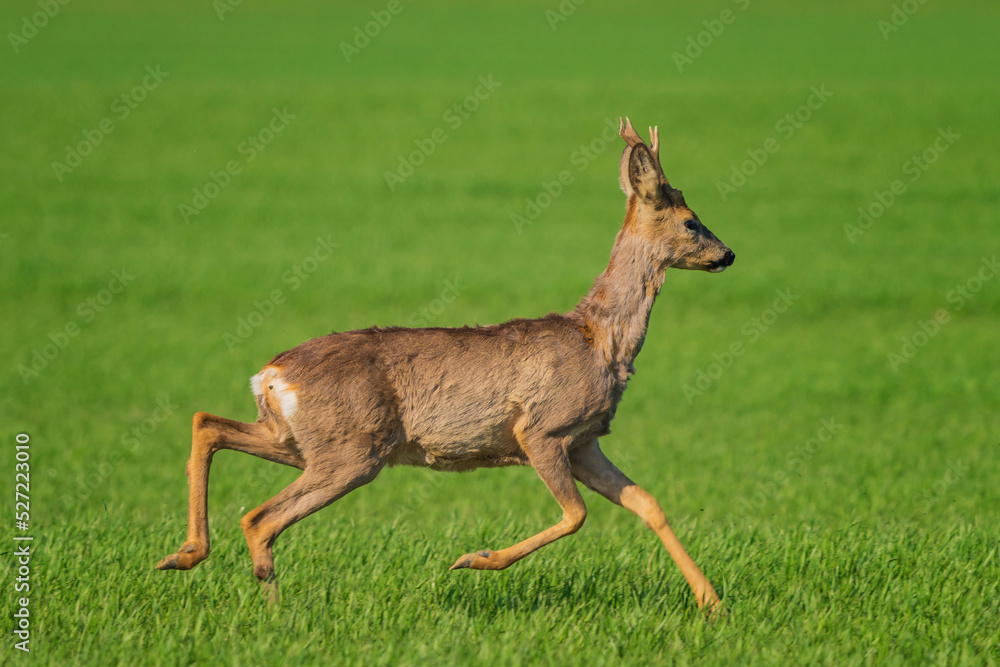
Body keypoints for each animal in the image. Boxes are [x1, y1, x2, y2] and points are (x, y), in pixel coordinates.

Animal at [156, 117, 735, 614]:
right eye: (691, 222)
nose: (727, 254)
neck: (599, 340)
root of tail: (271, 375)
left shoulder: (585, 440)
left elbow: (648, 503)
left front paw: (713, 604)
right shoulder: (542, 429)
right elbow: (576, 515)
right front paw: (474, 559)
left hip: (299, 440)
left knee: (207, 424)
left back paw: (183, 554)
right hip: (350, 451)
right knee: (258, 517)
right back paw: (271, 605)